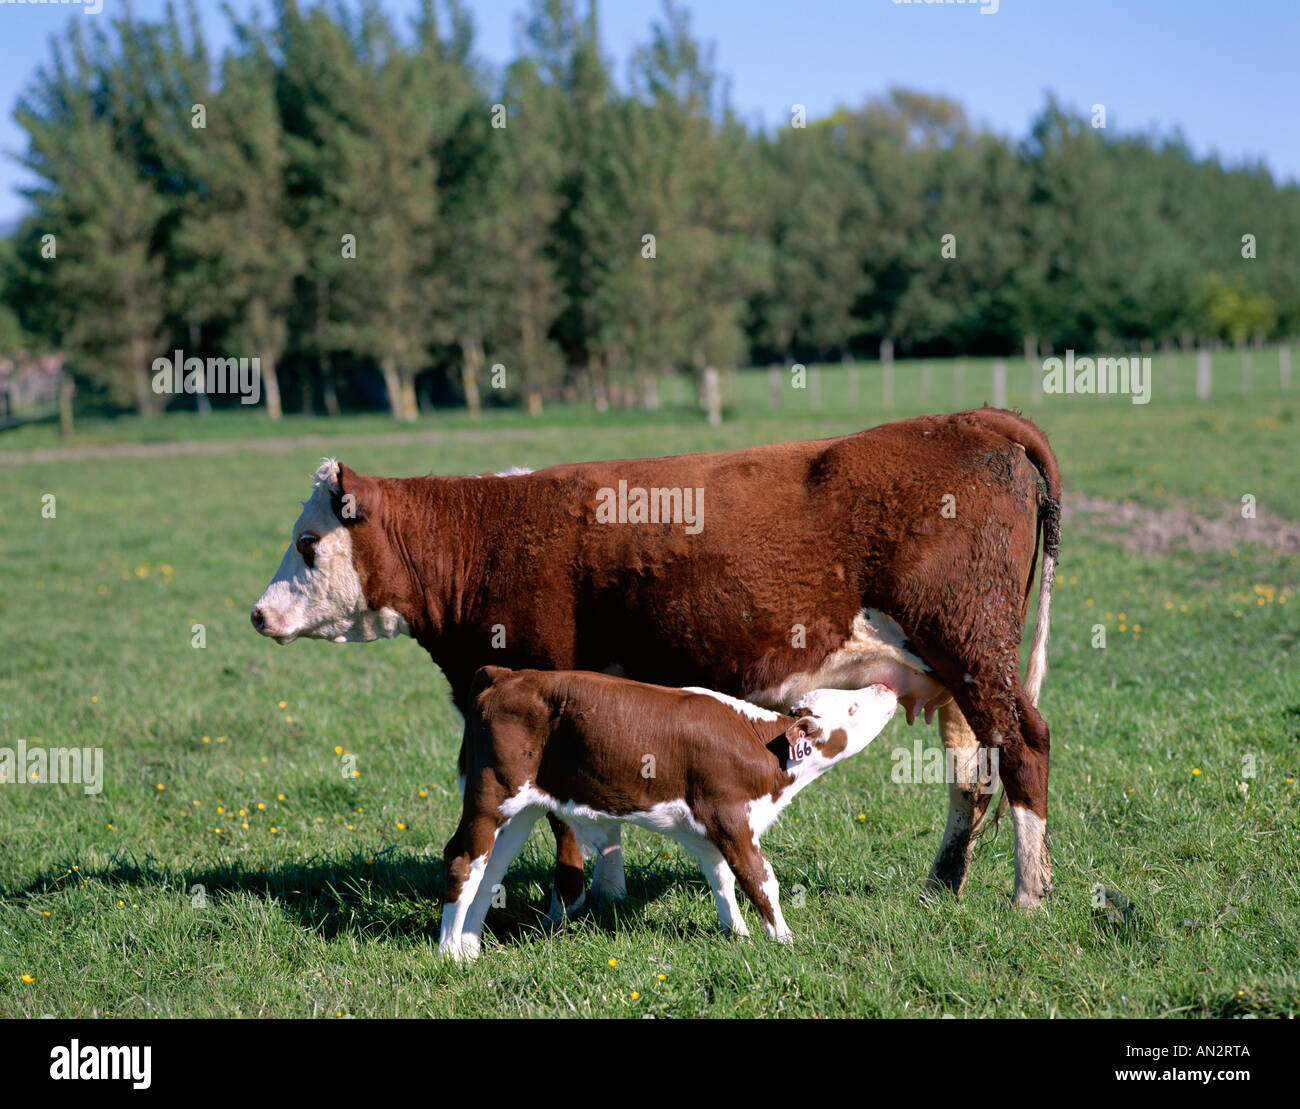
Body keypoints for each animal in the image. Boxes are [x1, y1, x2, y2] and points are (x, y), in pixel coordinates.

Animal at [251, 407, 1061, 910]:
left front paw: (570, 900)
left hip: (972, 648)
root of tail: (972, 418)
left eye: (307, 542)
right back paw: (942, 884)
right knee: (971, 777)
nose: (258, 613)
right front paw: (604, 896)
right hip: (951, 670)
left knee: (1024, 747)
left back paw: (1028, 894)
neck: (489, 539)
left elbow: (564, 819)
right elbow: (593, 808)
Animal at [439, 668, 900, 960]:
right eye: (851, 708)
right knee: (462, 860)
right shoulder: (731, 819)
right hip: (490, 792)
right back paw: (449, 956)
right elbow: (761, 880)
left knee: (491, 870)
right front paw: (786, 942)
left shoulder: (708, 830)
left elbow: (723, 881)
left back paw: (470, 947)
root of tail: (507, 674)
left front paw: (738, 935)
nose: (885, 685)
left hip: (520, 810)